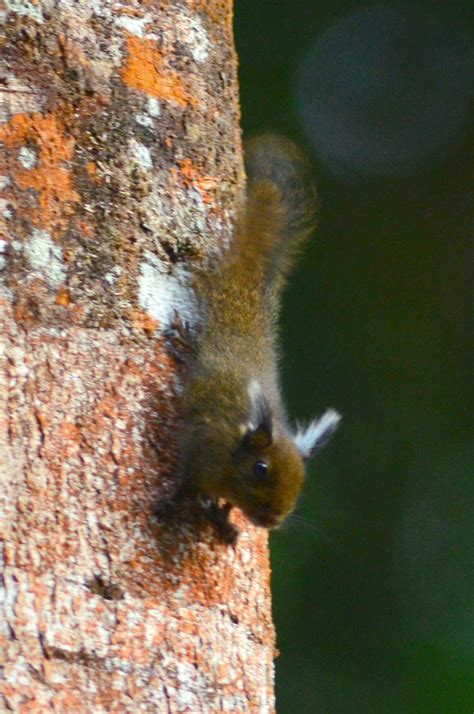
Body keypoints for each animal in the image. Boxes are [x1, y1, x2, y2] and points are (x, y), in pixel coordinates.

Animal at [159, 135, 340, 543]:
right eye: (260, 468)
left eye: (302, 482)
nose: (273, 519)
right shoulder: (201, 451)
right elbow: (187, 484)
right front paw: (173, 505)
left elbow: (222, 505)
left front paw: (224, 521)